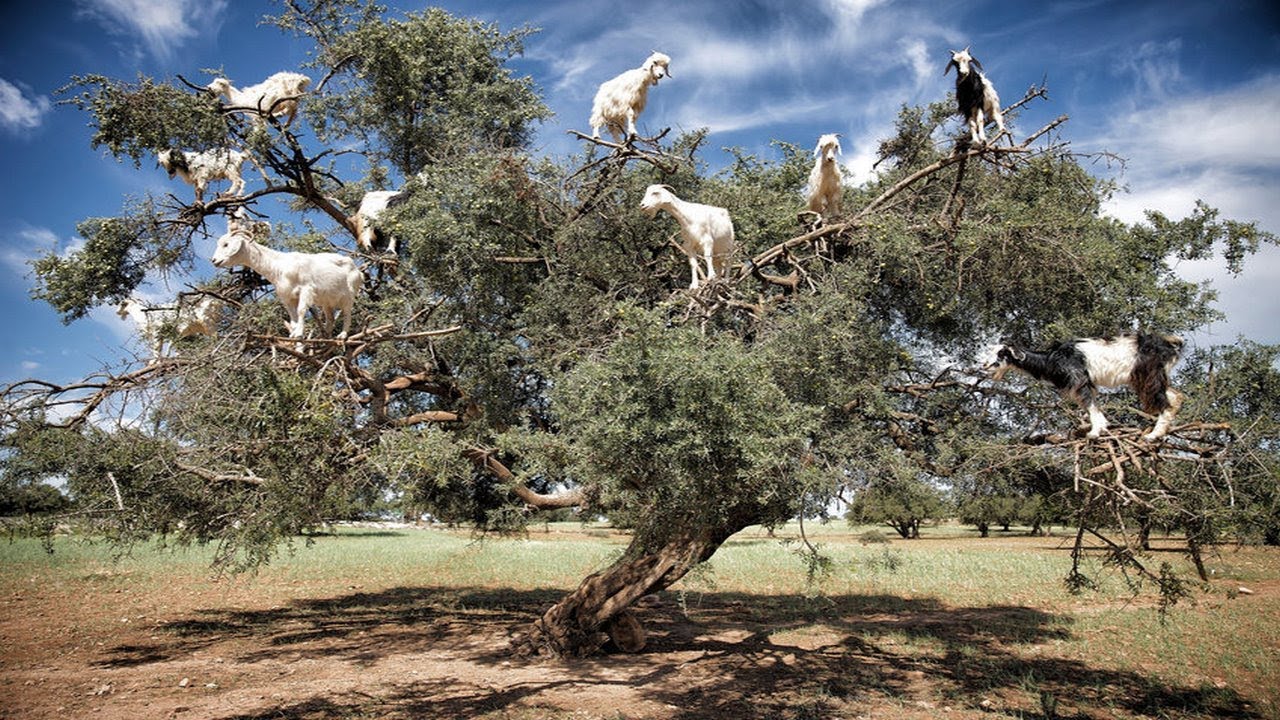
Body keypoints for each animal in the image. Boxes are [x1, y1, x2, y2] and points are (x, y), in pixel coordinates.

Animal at [210, 225, 362, 342]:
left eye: (226, 244)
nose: (214, 260)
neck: (281, 265)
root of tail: (357, 270)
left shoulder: (306, 289)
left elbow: (301, 311)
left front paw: (299, 334)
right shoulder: (287, 297)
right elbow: (293, 318)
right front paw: (294, 334)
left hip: (349, 296)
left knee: (347, 313)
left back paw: (342, 336)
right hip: (327, 302)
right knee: (330, 318)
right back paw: (324, 337)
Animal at [985, 333, 1185, 441]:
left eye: (1002, 353)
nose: (985, 366)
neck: (1052, 358)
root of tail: (1170, 346)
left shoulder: (1080, 379)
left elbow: (1090, 405)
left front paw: (1095, 432)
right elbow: (1092, 404)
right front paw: (1100, 428)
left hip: (1149, 376)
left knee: (1164, 401)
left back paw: (1152, 436)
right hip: (1154, 377)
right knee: (1175, 396)